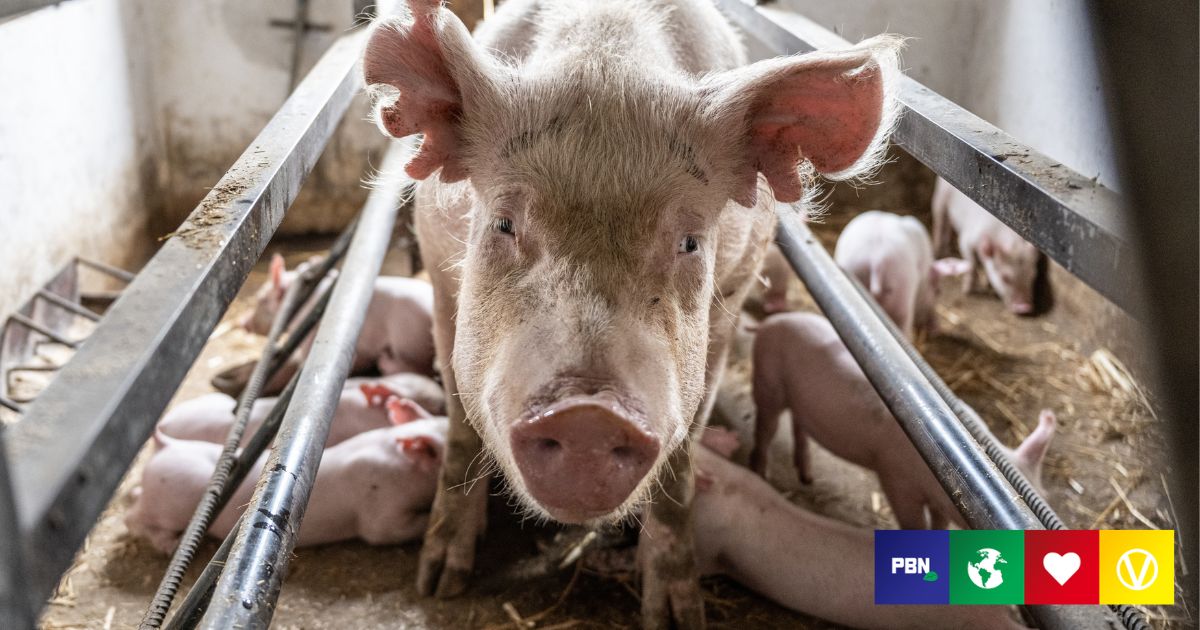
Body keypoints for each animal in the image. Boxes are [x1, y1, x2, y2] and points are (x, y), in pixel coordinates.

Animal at [126, 398, 447, 553]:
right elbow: (385, 532)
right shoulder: (380, 512)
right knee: (134, 519)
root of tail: (166, 443)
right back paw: (169, 546)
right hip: (167, 508)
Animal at [241, 253, 437, 376]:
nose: (243, 322)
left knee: (423, 370)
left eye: (262, 300)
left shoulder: (308, 339)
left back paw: (385, 362)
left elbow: (303, 359)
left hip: (409, 343)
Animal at [360, 0, 901, 624]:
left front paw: (677, 615)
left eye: (690, 242)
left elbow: (683, 458)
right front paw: (438, 582)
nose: (588, 415)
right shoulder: (441, 275)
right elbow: (458, 428)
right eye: (503, 223)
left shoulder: (730, 298)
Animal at [749, 312, 1055, 529]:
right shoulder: (895, 477)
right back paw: (761, 475)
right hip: (767, 381)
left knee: (798, 424)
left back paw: (807, 477)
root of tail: (769, 323)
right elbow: (912, 522)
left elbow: (940, 525)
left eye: (1043, 494)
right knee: (765, 428)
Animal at [931, 177, 1049, 315]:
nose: (1024, 308)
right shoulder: (966, 240)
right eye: (1005, 278)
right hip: (941, 195)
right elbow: (971, 264)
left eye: (1032, 276)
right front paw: (967, 291)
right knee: (939, 219)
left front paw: (987, 284)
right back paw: (938, 251)